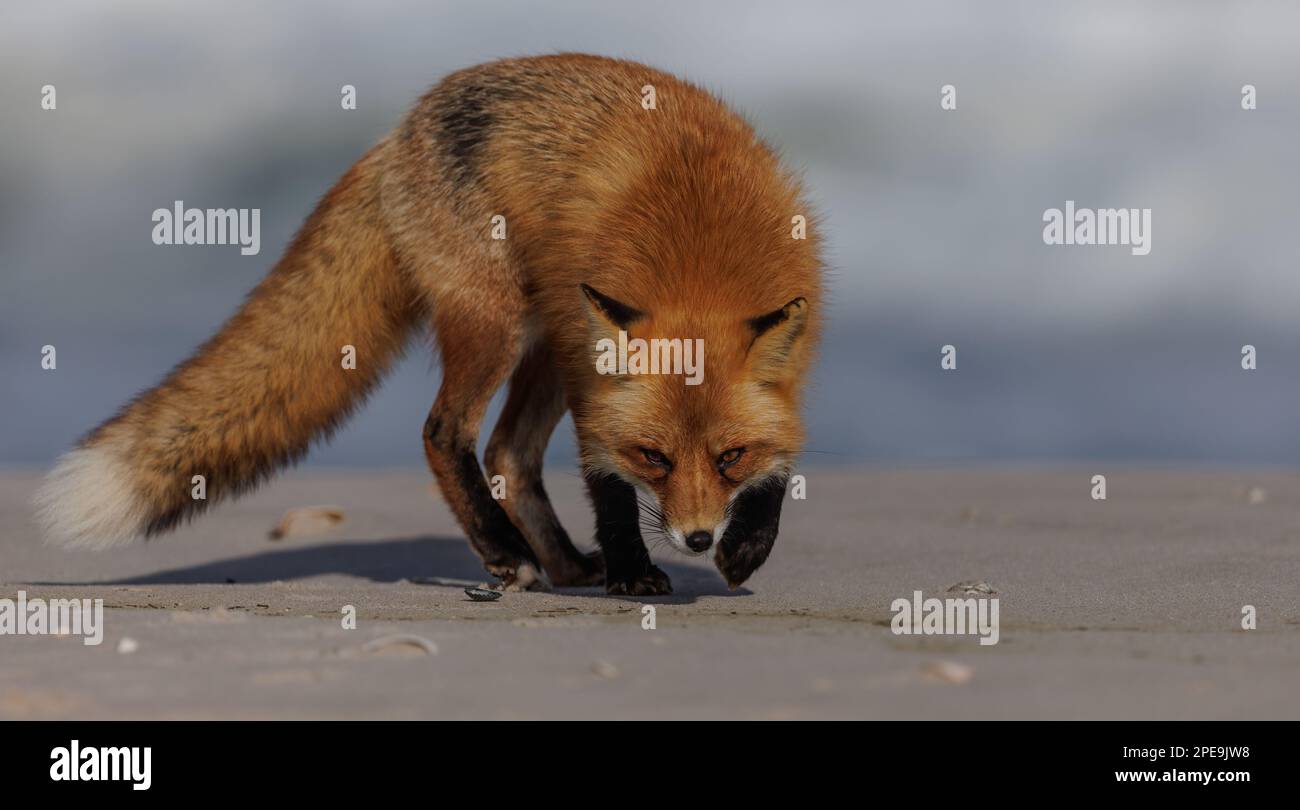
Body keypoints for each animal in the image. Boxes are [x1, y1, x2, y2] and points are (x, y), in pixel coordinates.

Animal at [34, 54, 823, 595]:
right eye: (653, 459)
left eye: (731, 458)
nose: (696, 539)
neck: (700, 255)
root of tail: (395, 134)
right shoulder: (596, 383)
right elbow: (606, 481)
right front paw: (634, 571)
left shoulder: (792, 355)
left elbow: (782, 452)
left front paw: (748, 547)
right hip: (500, 324)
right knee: (445, 433)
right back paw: (510, 554)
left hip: (545, 341)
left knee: (508, 453)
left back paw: (565, 564)